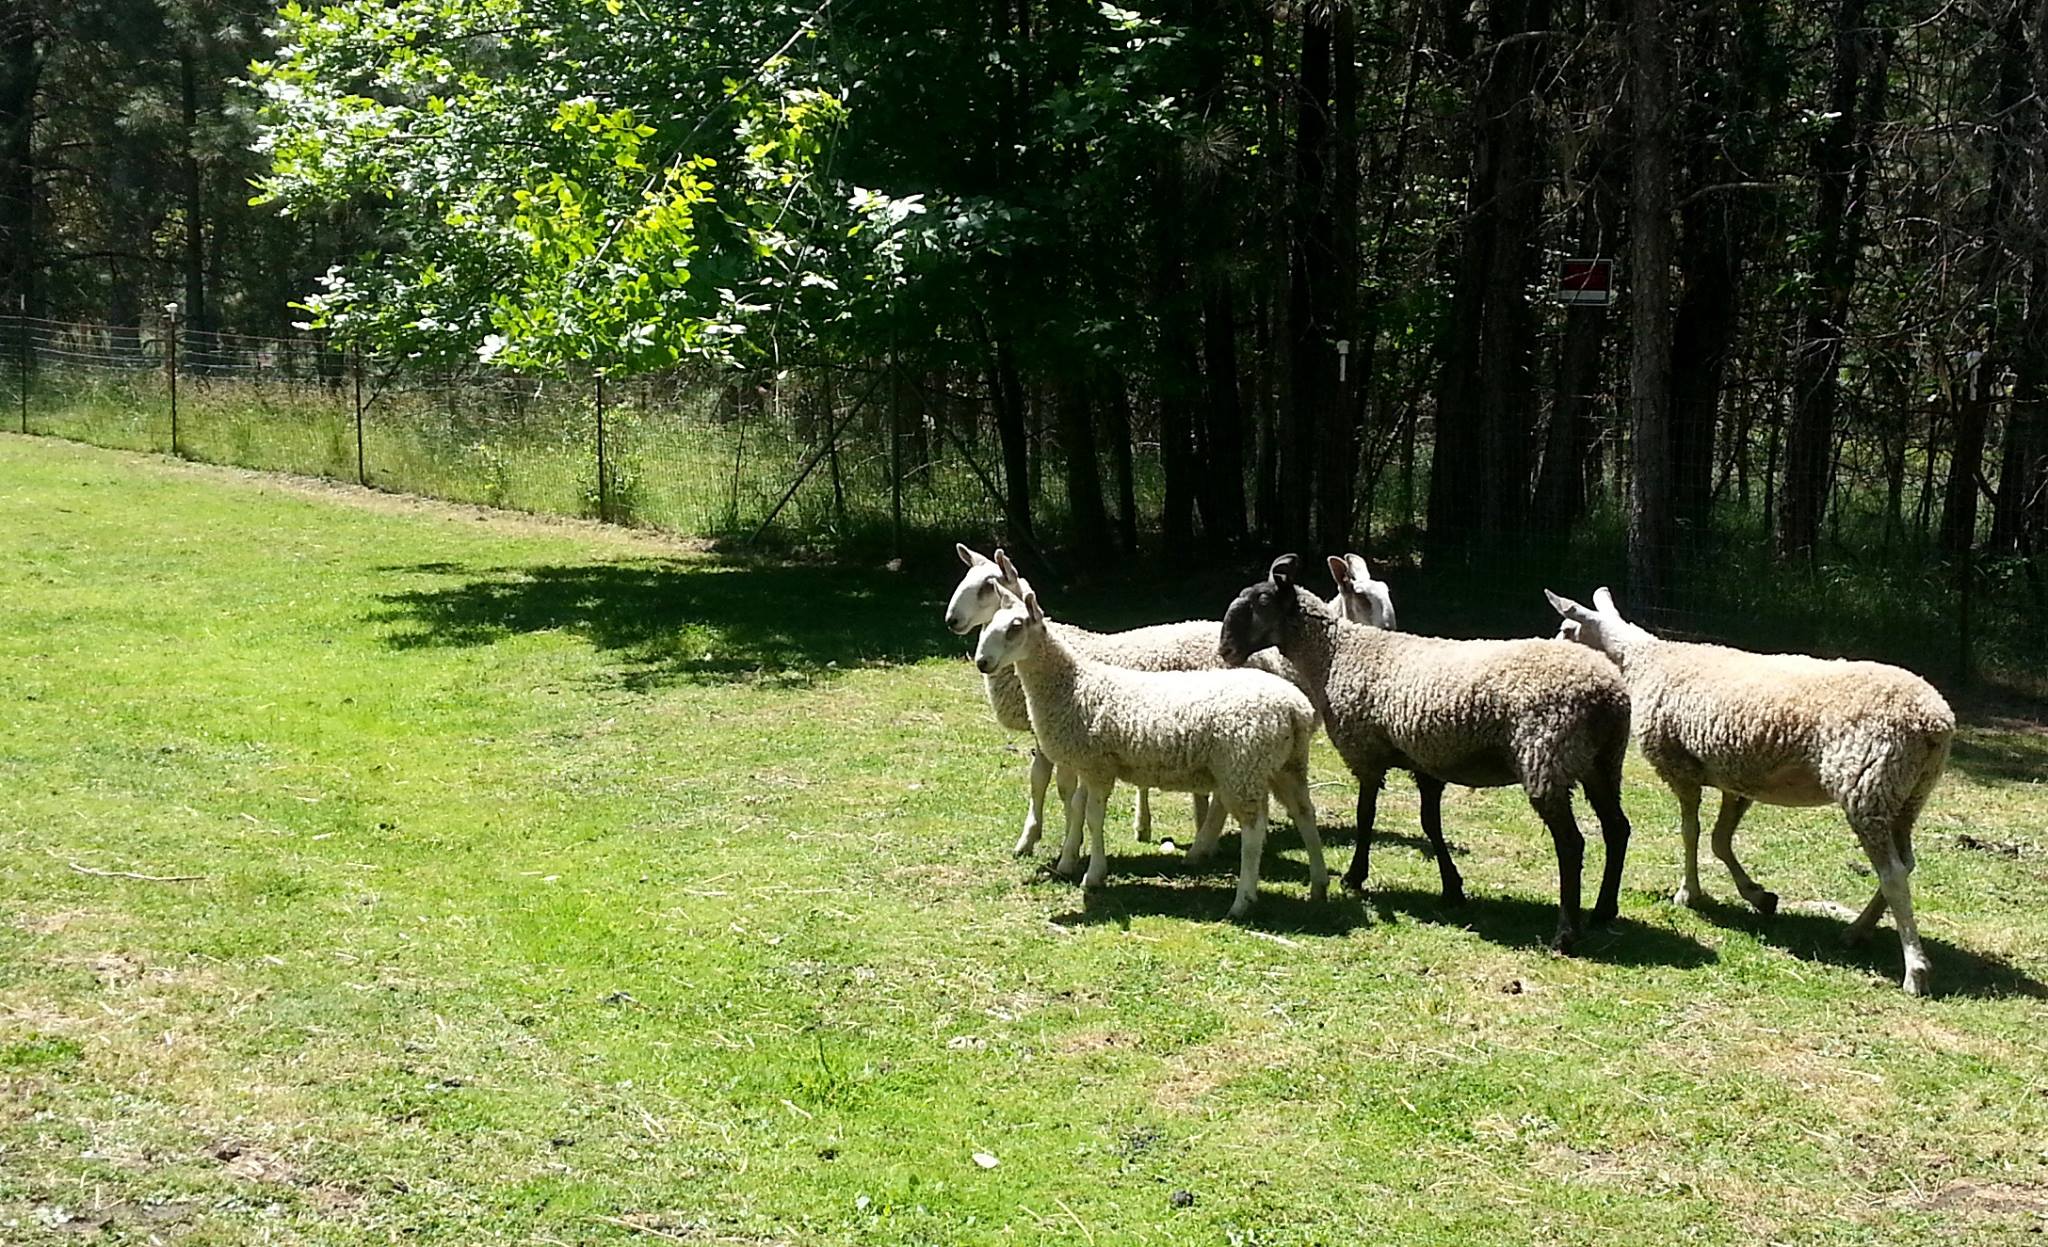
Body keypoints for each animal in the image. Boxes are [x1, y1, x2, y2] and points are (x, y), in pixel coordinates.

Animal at [975, 584, 1323, 919]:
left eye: (1015, 627)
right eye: (988, 624)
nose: (981, 663)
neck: (1073, 684)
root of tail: (1295, 707)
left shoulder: (1098, 766)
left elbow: (1093, 818)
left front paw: (1094, 875)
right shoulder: (1088, 763)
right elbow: (1077, 809)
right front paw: (1068, 861)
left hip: (1243, 766)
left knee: (1253, 832)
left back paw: (1242, 901)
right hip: (1285, 765)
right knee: (1305, 814)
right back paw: (1318, 884)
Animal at [1219, 555, 1633, 952]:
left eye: (1262, 601)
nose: (1226, 650)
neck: (1336, 653)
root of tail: (1607, 694)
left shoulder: (1367, 752)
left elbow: (1365, 817)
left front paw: (1354, 876)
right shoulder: (1426, 760)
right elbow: (1430, 824)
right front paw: (1452, 889)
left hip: (1547, 758)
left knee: (1572, 844)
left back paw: (1565, 934)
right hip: (1602, 762)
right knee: (1617, 828)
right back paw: (1603, 911)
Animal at [1545, 587, 1954, 996]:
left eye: (1566, 629)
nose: (1546, 652)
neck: (1643, 661)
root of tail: (1934, 722)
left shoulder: (1680, 767)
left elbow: (1690, 833)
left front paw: (1689, 894)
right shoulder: (1737, 779)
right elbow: (1719, 841)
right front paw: (1759, 896)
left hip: (1867, 785)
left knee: (1892, 874)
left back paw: (1914, 970)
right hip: (1906, 795)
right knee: (1905, 863)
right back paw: (1858, 931)